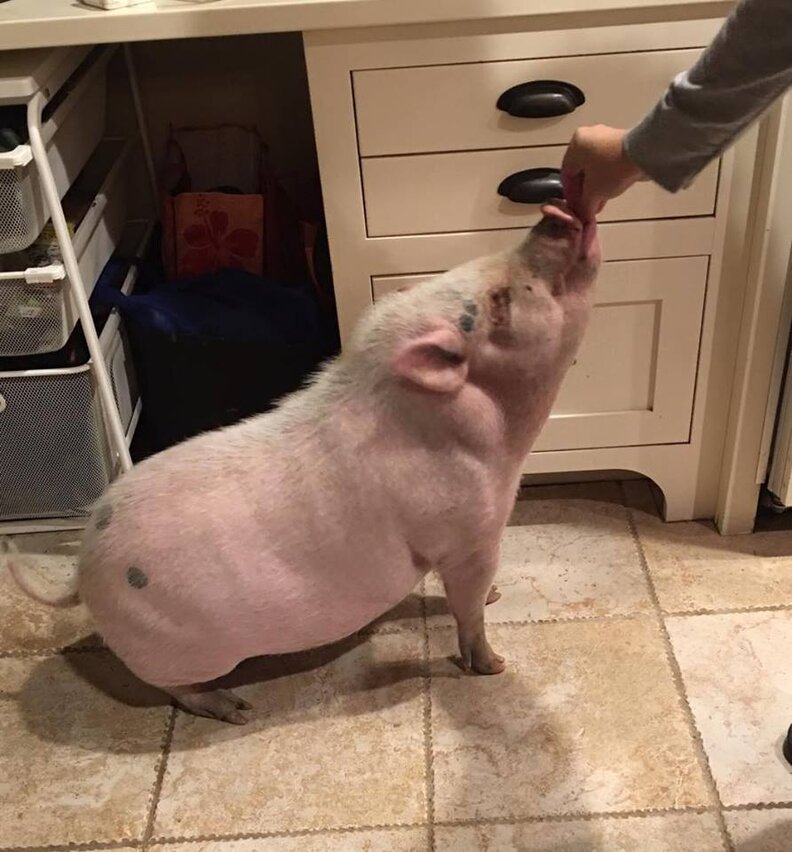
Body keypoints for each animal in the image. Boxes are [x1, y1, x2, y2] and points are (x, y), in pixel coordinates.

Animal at [7, 202, 600, 724]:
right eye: (500, 301)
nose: (553, 215)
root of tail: (85, 563)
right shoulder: (469, 533)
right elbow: (468, 603)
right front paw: (495, 666)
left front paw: (498, 596)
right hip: (173, 649)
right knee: (171, 688)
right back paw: (235, 709)